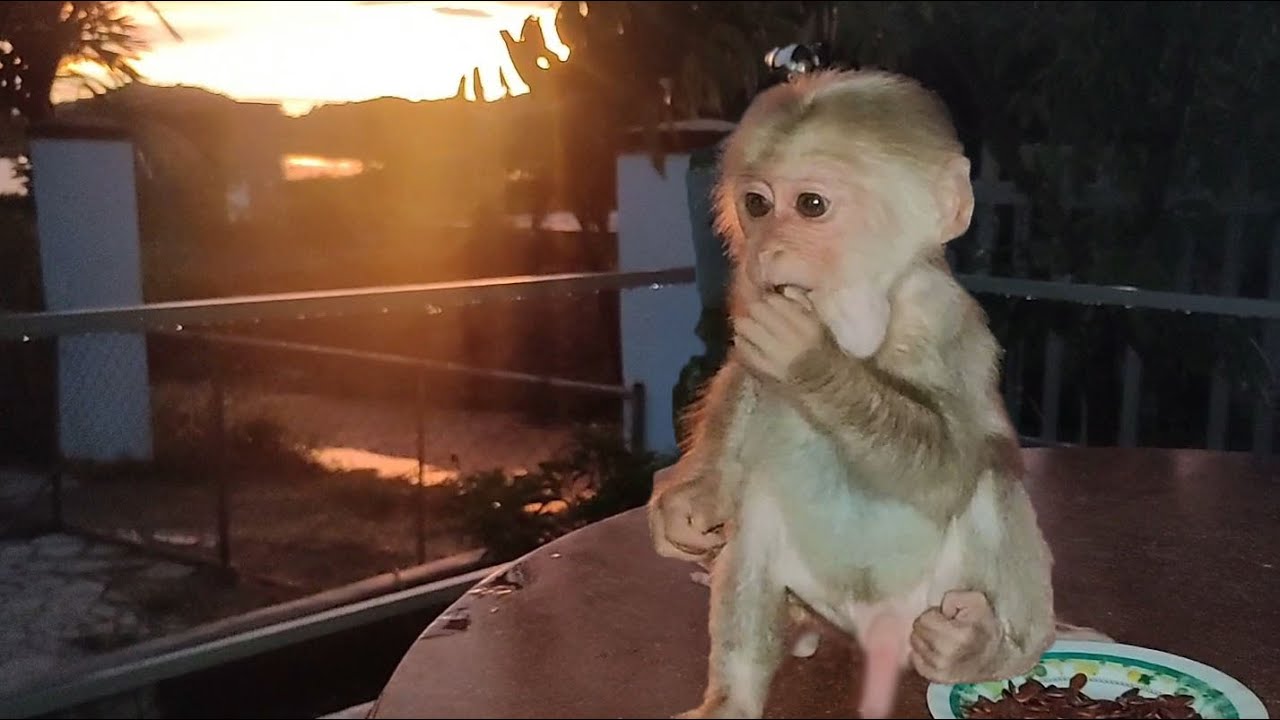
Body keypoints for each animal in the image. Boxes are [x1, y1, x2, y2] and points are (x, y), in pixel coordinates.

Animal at [647, 68, 1111, 719]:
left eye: (811, 205)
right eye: (757, 204)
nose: (767, 248)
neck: (858, 316)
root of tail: (875, 631)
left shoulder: (940, 319)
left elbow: (952, 463)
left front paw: (811, 359)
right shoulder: (751, 303)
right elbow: (745, 377)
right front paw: (691, 500)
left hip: (937, 597)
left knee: (988, 478)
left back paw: (985, 646)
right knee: (756, 526)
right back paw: (737, 693)